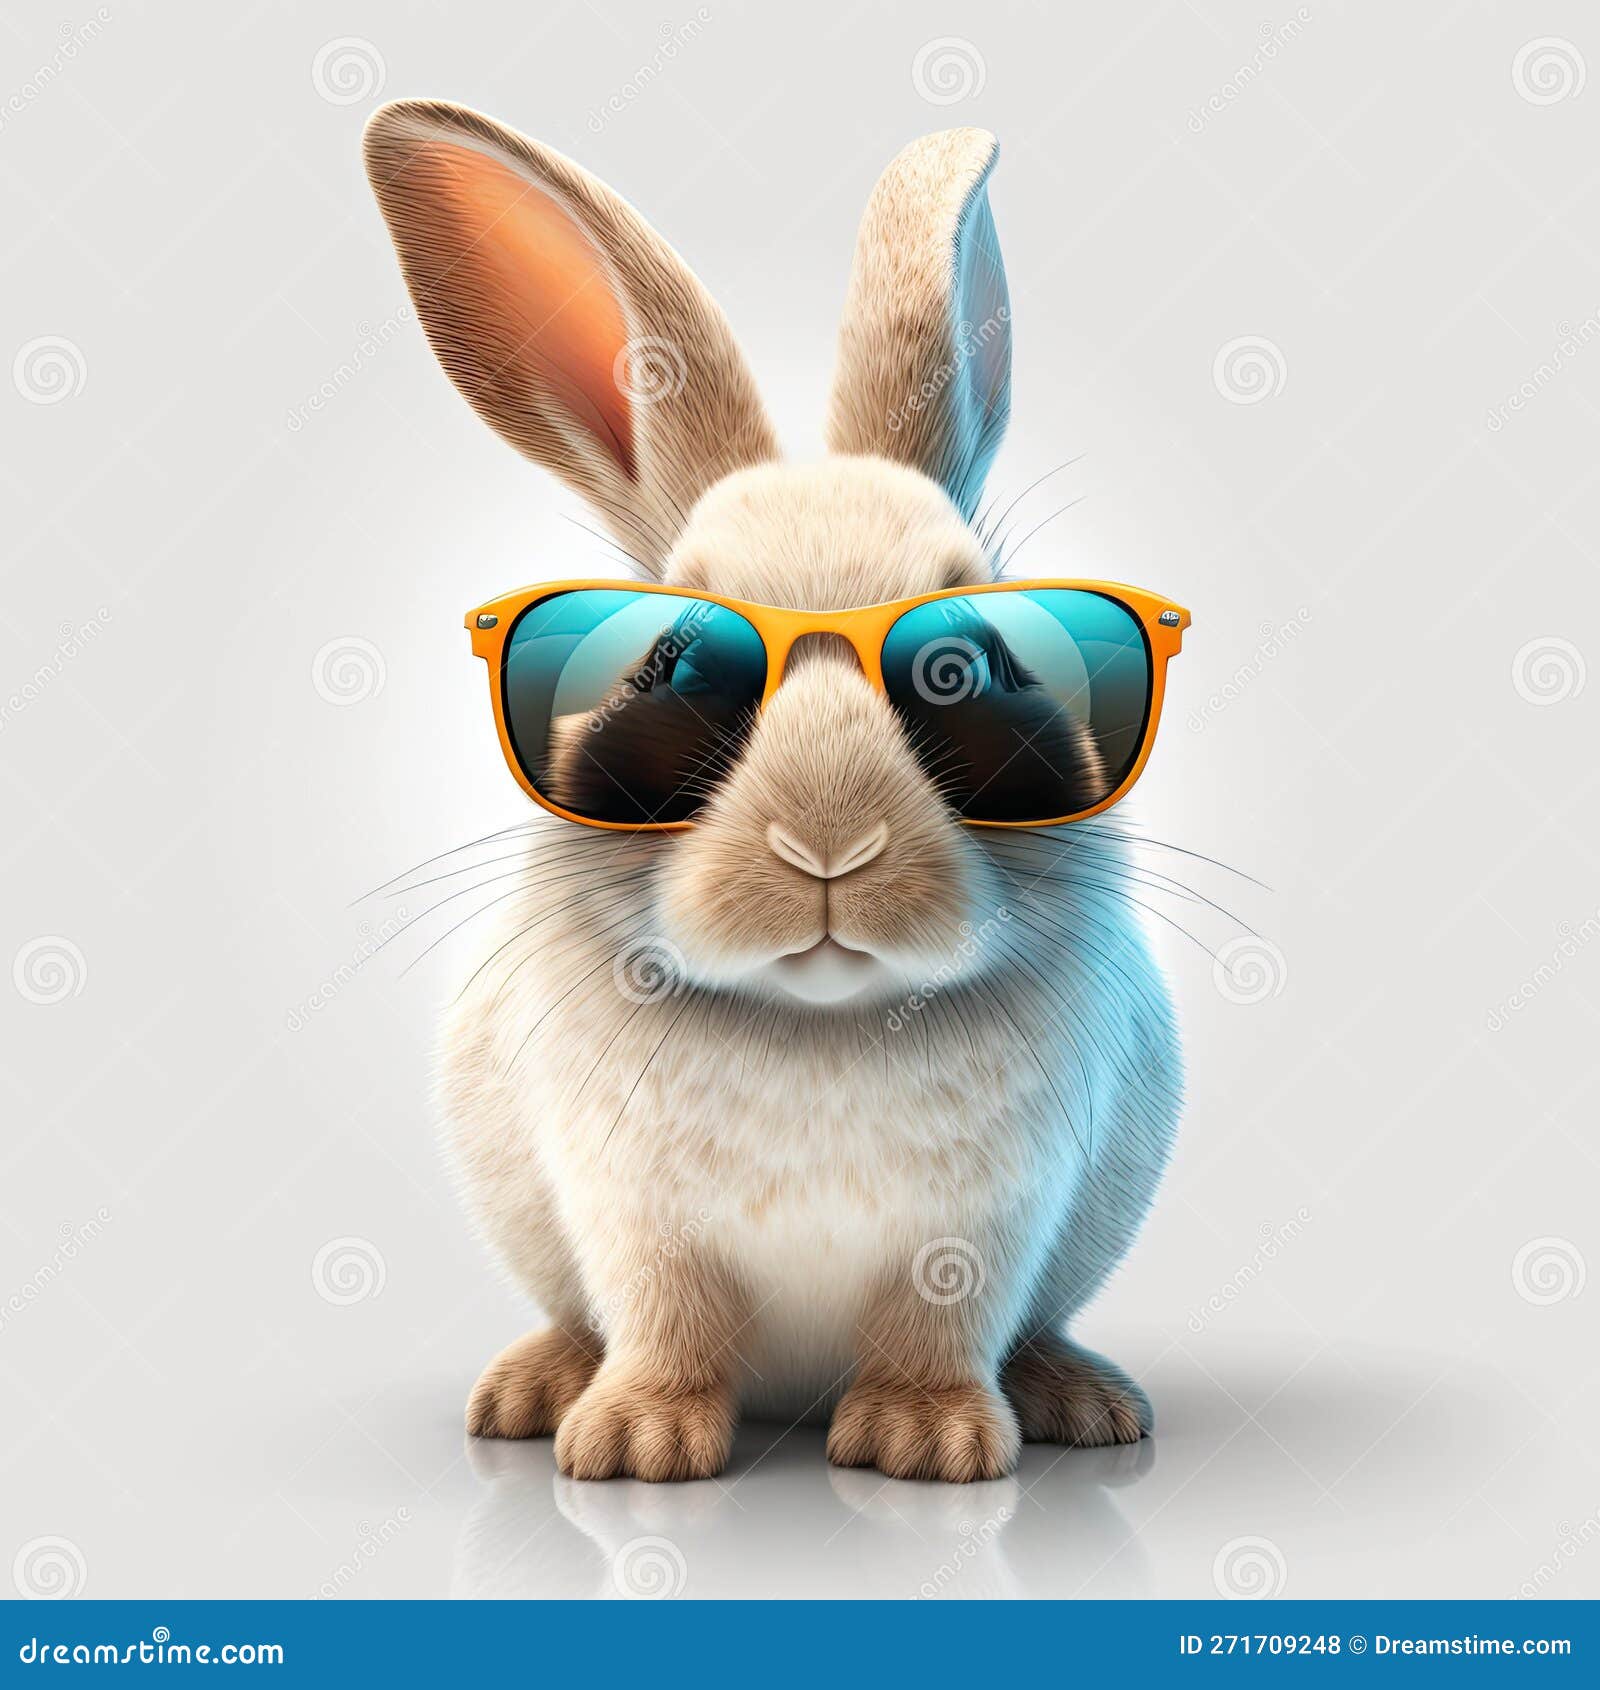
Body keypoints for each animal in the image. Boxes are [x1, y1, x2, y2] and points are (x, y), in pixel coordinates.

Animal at [363, 101, 1182, 1482]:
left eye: (971, 668)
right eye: (669, 666)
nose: (828, 847)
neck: (821, 1022)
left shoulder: (989, 1224)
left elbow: (938, 1321)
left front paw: (929, 1444)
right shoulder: (636, 1221)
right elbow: (665, 1318)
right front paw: (634, 1444)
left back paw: (1078, 1399)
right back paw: (533, 1393)